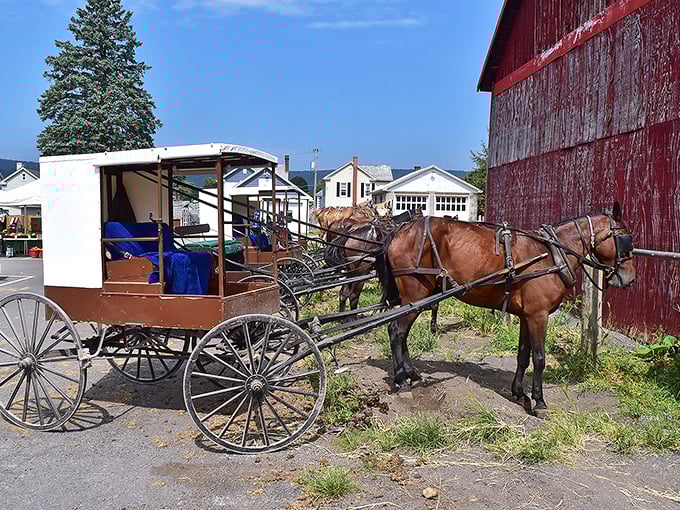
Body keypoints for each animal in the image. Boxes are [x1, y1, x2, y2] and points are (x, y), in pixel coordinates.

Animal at [375, 201, 636, 415]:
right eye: (625, 239)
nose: (630, 279)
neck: (551, 255)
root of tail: (400, 231)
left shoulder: (527, 316)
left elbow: (522, 355)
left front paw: (519, 393)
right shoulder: (538, 316)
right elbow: (539, 358)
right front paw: (539, 402)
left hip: (417, 298)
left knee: (401, 334)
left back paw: (411, 374)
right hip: (415, 294)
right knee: (396, 332)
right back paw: (402, 381)